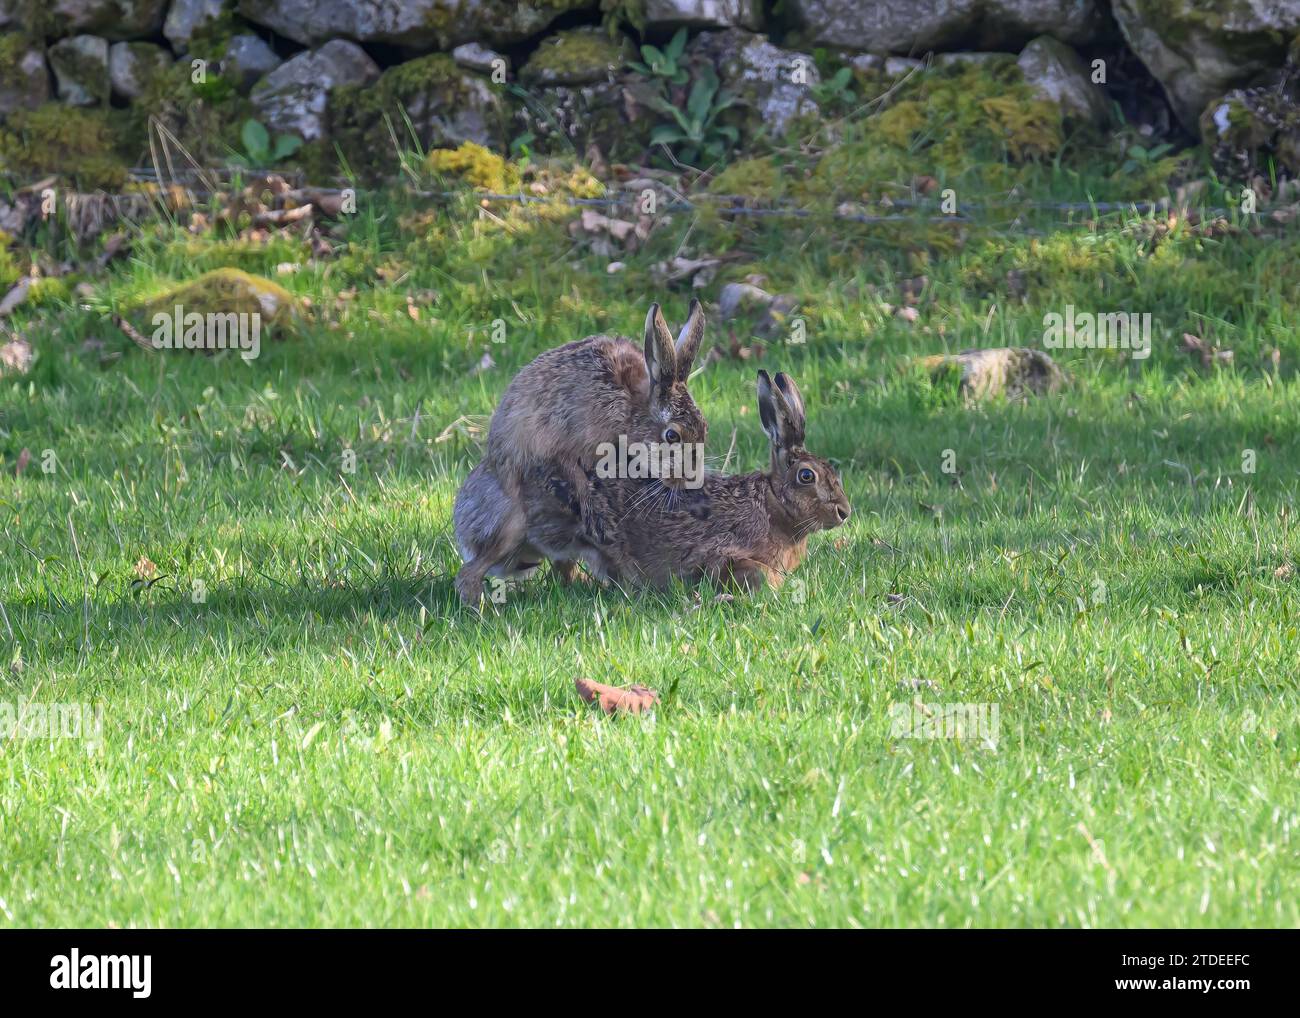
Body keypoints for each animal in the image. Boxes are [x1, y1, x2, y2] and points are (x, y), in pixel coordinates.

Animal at [453, 300, 708, 605]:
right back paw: (478, 607)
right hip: (509, 524)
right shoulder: (565, 446)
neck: (631, 409)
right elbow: (576, 477)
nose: (690, 479)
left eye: (704, 428)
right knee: (470, 572)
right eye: (672, 436)